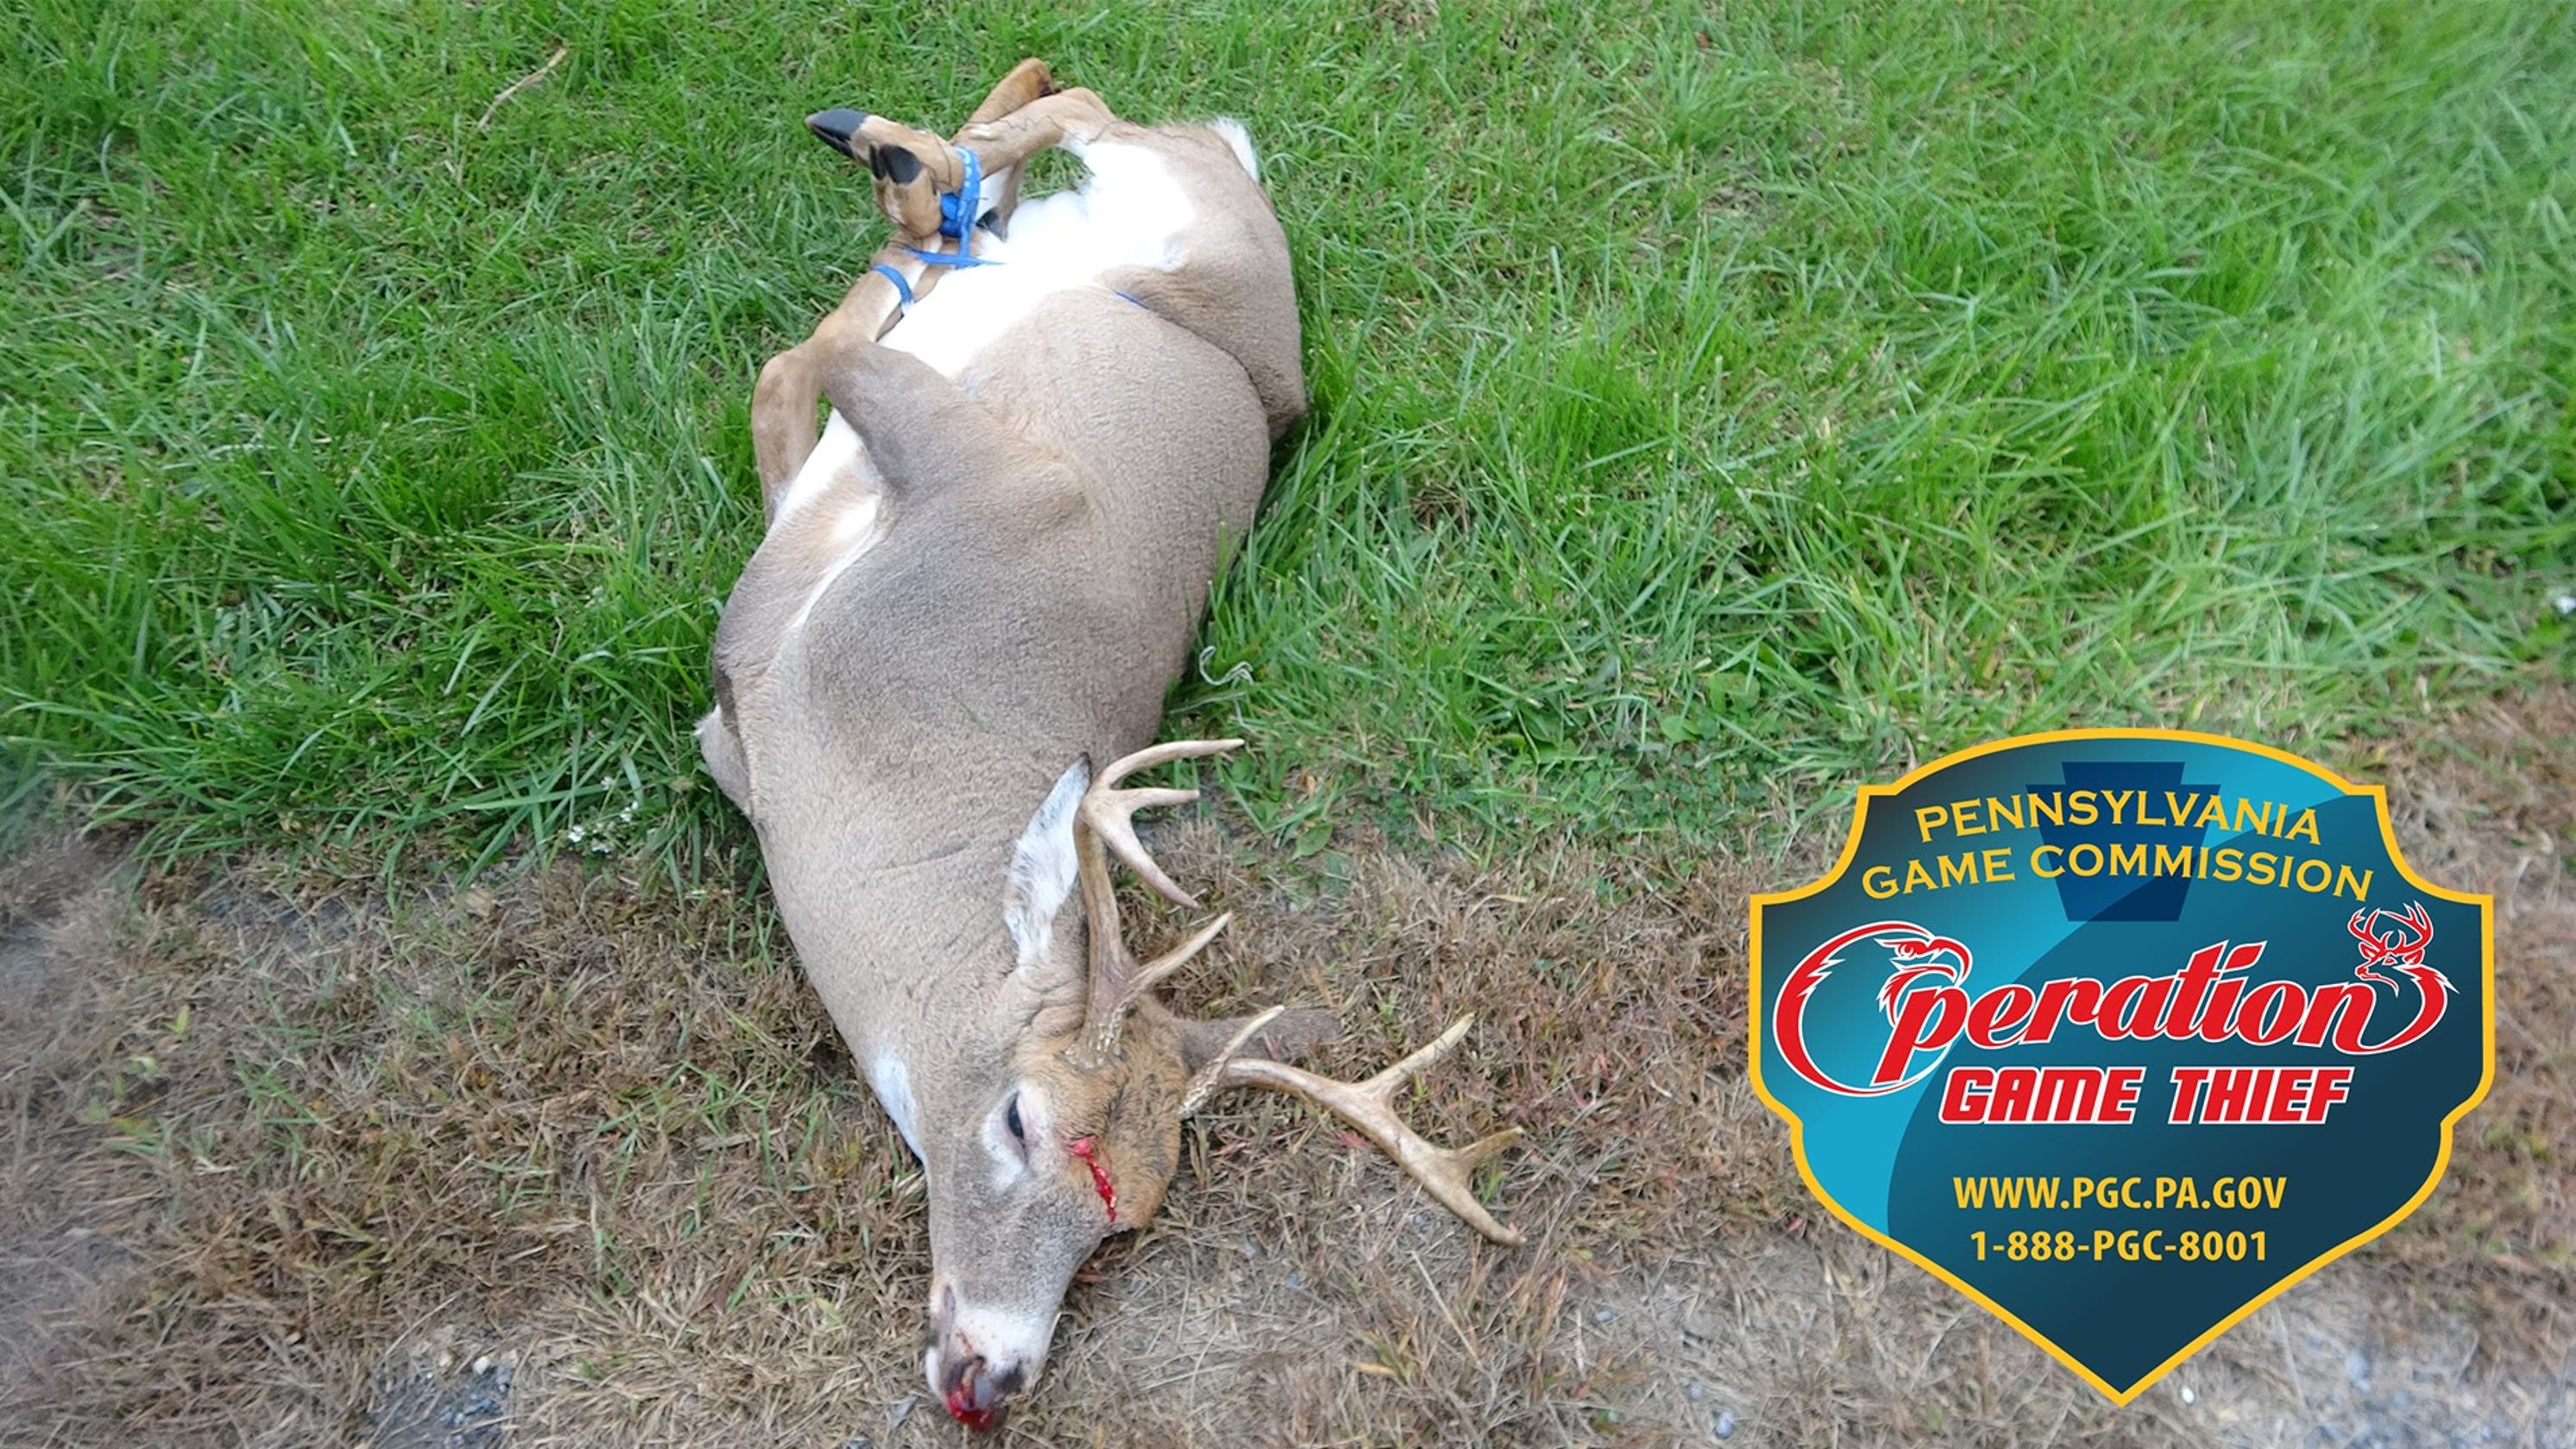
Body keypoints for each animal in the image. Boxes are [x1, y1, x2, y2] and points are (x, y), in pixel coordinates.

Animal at [696, 63, 1524, 1430]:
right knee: (1084, 116)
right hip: (1179, 221)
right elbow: (798, 363)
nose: (993, 1374)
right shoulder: (987, 483)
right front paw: (916, 188)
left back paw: (927, 173)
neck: (842, 750)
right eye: (1020, 1120)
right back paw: (925, 164)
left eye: (1123, 1221)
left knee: (1066, 138)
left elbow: (796, 370)